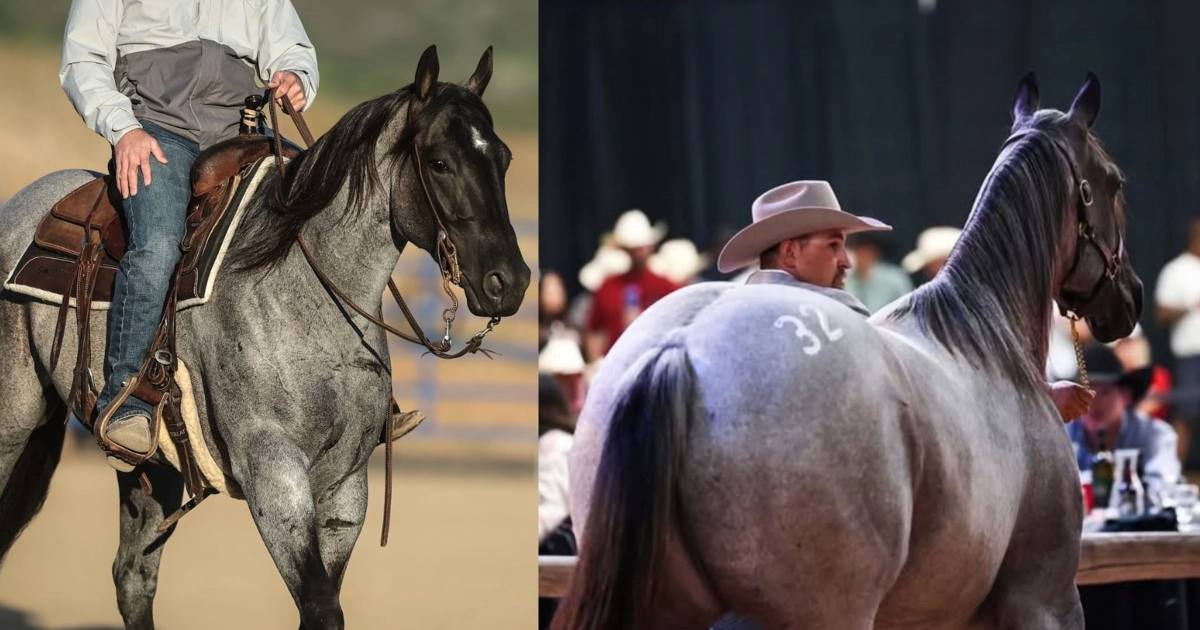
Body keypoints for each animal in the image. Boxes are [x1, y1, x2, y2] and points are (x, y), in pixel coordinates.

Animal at [0, 46, 529, 630]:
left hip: (153, 466)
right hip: (13, 421)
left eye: (503, 158)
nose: (509, 281)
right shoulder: (272, 470)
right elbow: (321, 606)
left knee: (133, 577)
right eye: (438, 162)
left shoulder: (347, 485)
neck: (301, 290)